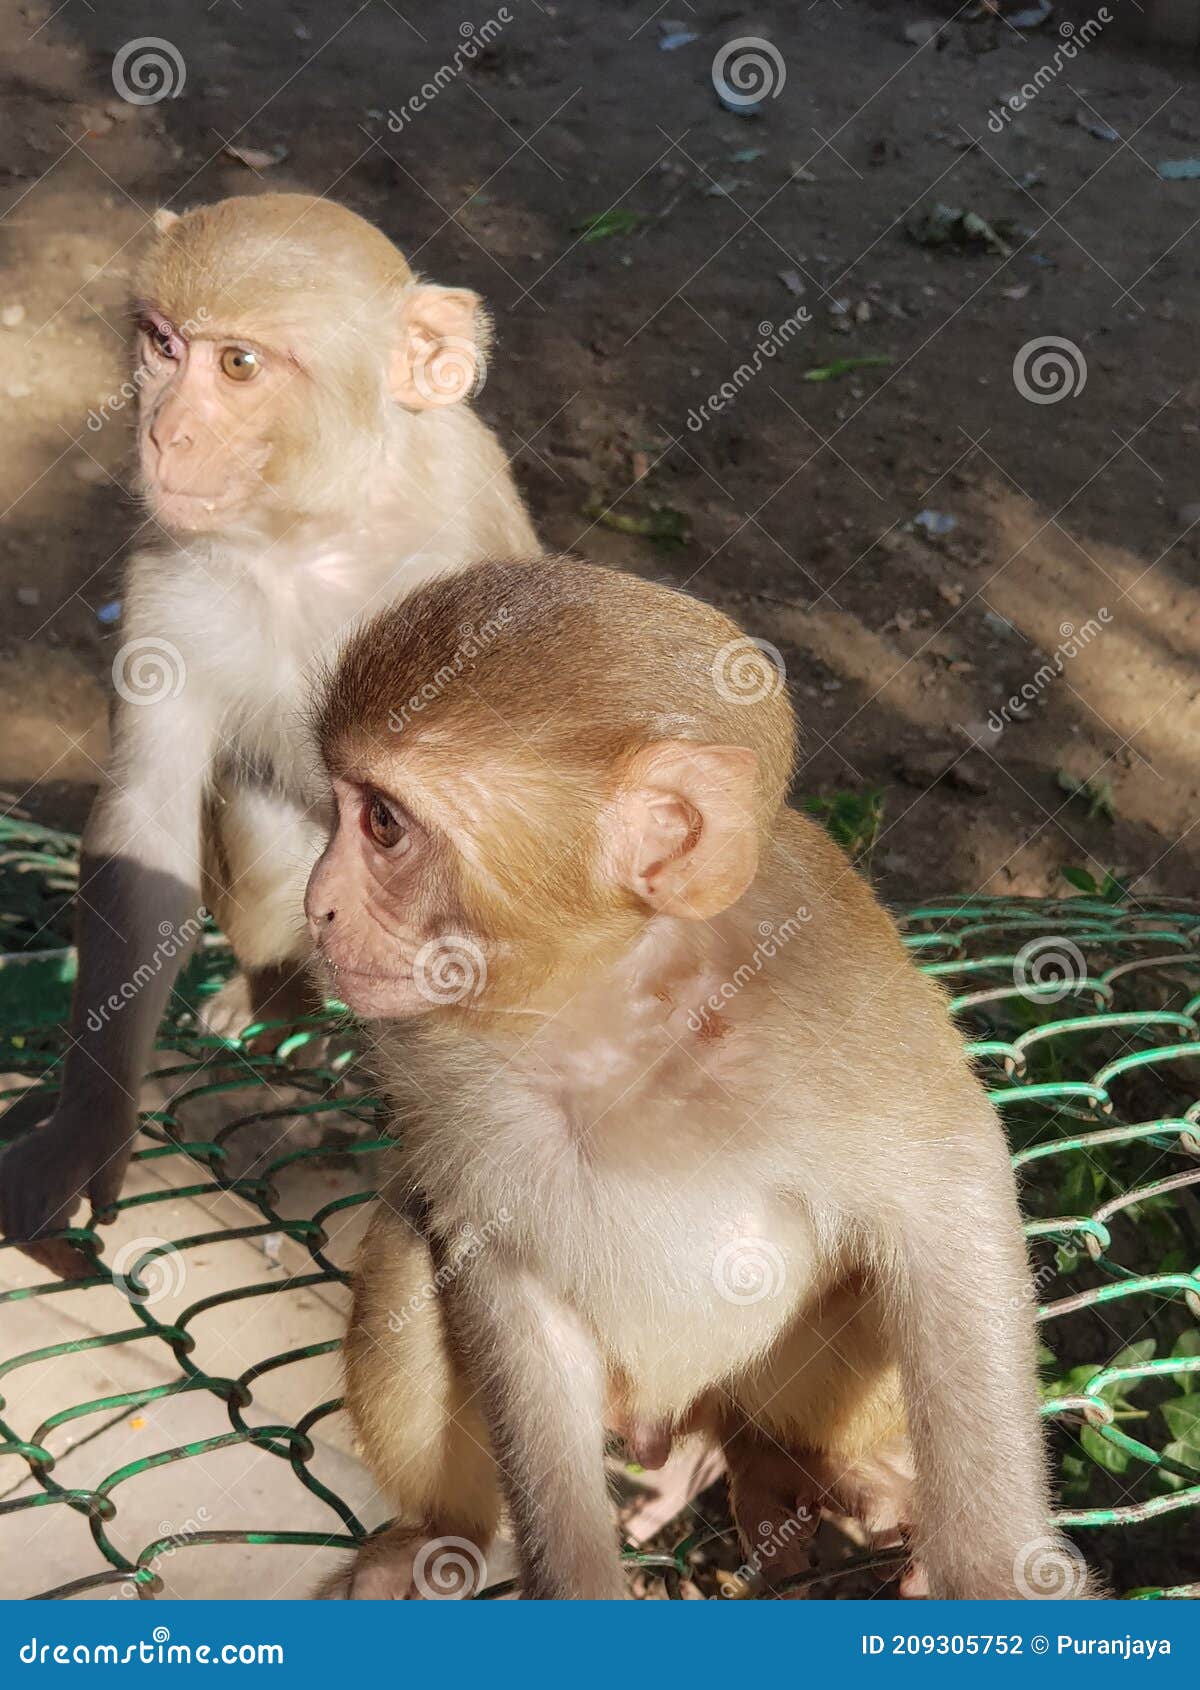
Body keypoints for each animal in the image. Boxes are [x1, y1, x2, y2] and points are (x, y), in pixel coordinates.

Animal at [0, 194, 537, 1266]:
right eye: (162, 344)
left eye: (240, 365)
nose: (163, 434)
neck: (314, 536)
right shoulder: (169, 576)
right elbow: (147, 825)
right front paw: (87, 1122)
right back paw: (278, 1002)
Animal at [302, 554, 1101, 1602]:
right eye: (343, 808)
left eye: (386, 824)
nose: (317, 904)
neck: (614, 1013)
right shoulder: (439, 1074)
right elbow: (492, 1264)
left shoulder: (835, 995)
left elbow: (947, 1201)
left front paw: (992, 1566)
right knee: (408, 1240)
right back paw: (445, 1532)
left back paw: (787, 1458)